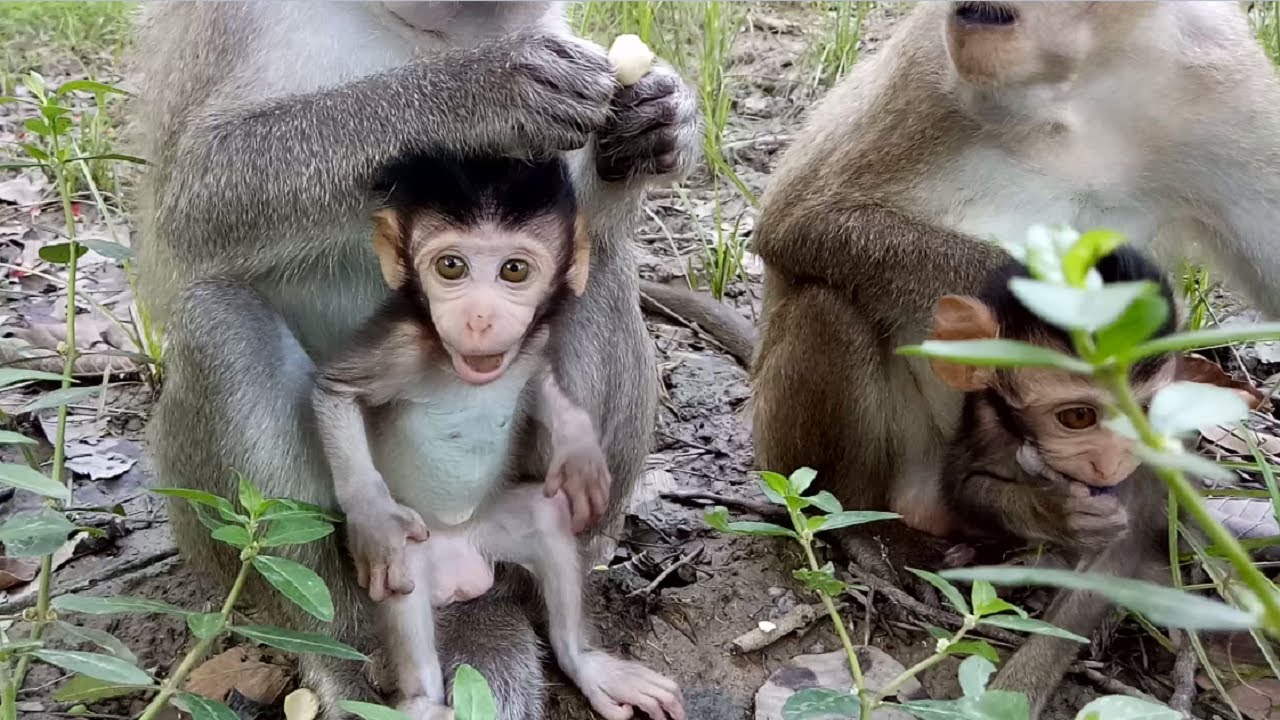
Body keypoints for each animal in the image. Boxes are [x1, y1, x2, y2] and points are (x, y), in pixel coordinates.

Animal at [311, 154, 683, 720]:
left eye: (514, 270)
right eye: (451, 267)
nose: (480, 317)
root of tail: (464, 574)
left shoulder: (532, 344)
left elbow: (542, 385)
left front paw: (579, 452)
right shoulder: (399, 347)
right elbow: (334, 395)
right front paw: (373, 518)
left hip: (494, 533)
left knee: (549, 517)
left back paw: (584, 662)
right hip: (424, 555)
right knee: (407, 571)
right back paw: (423, 701)